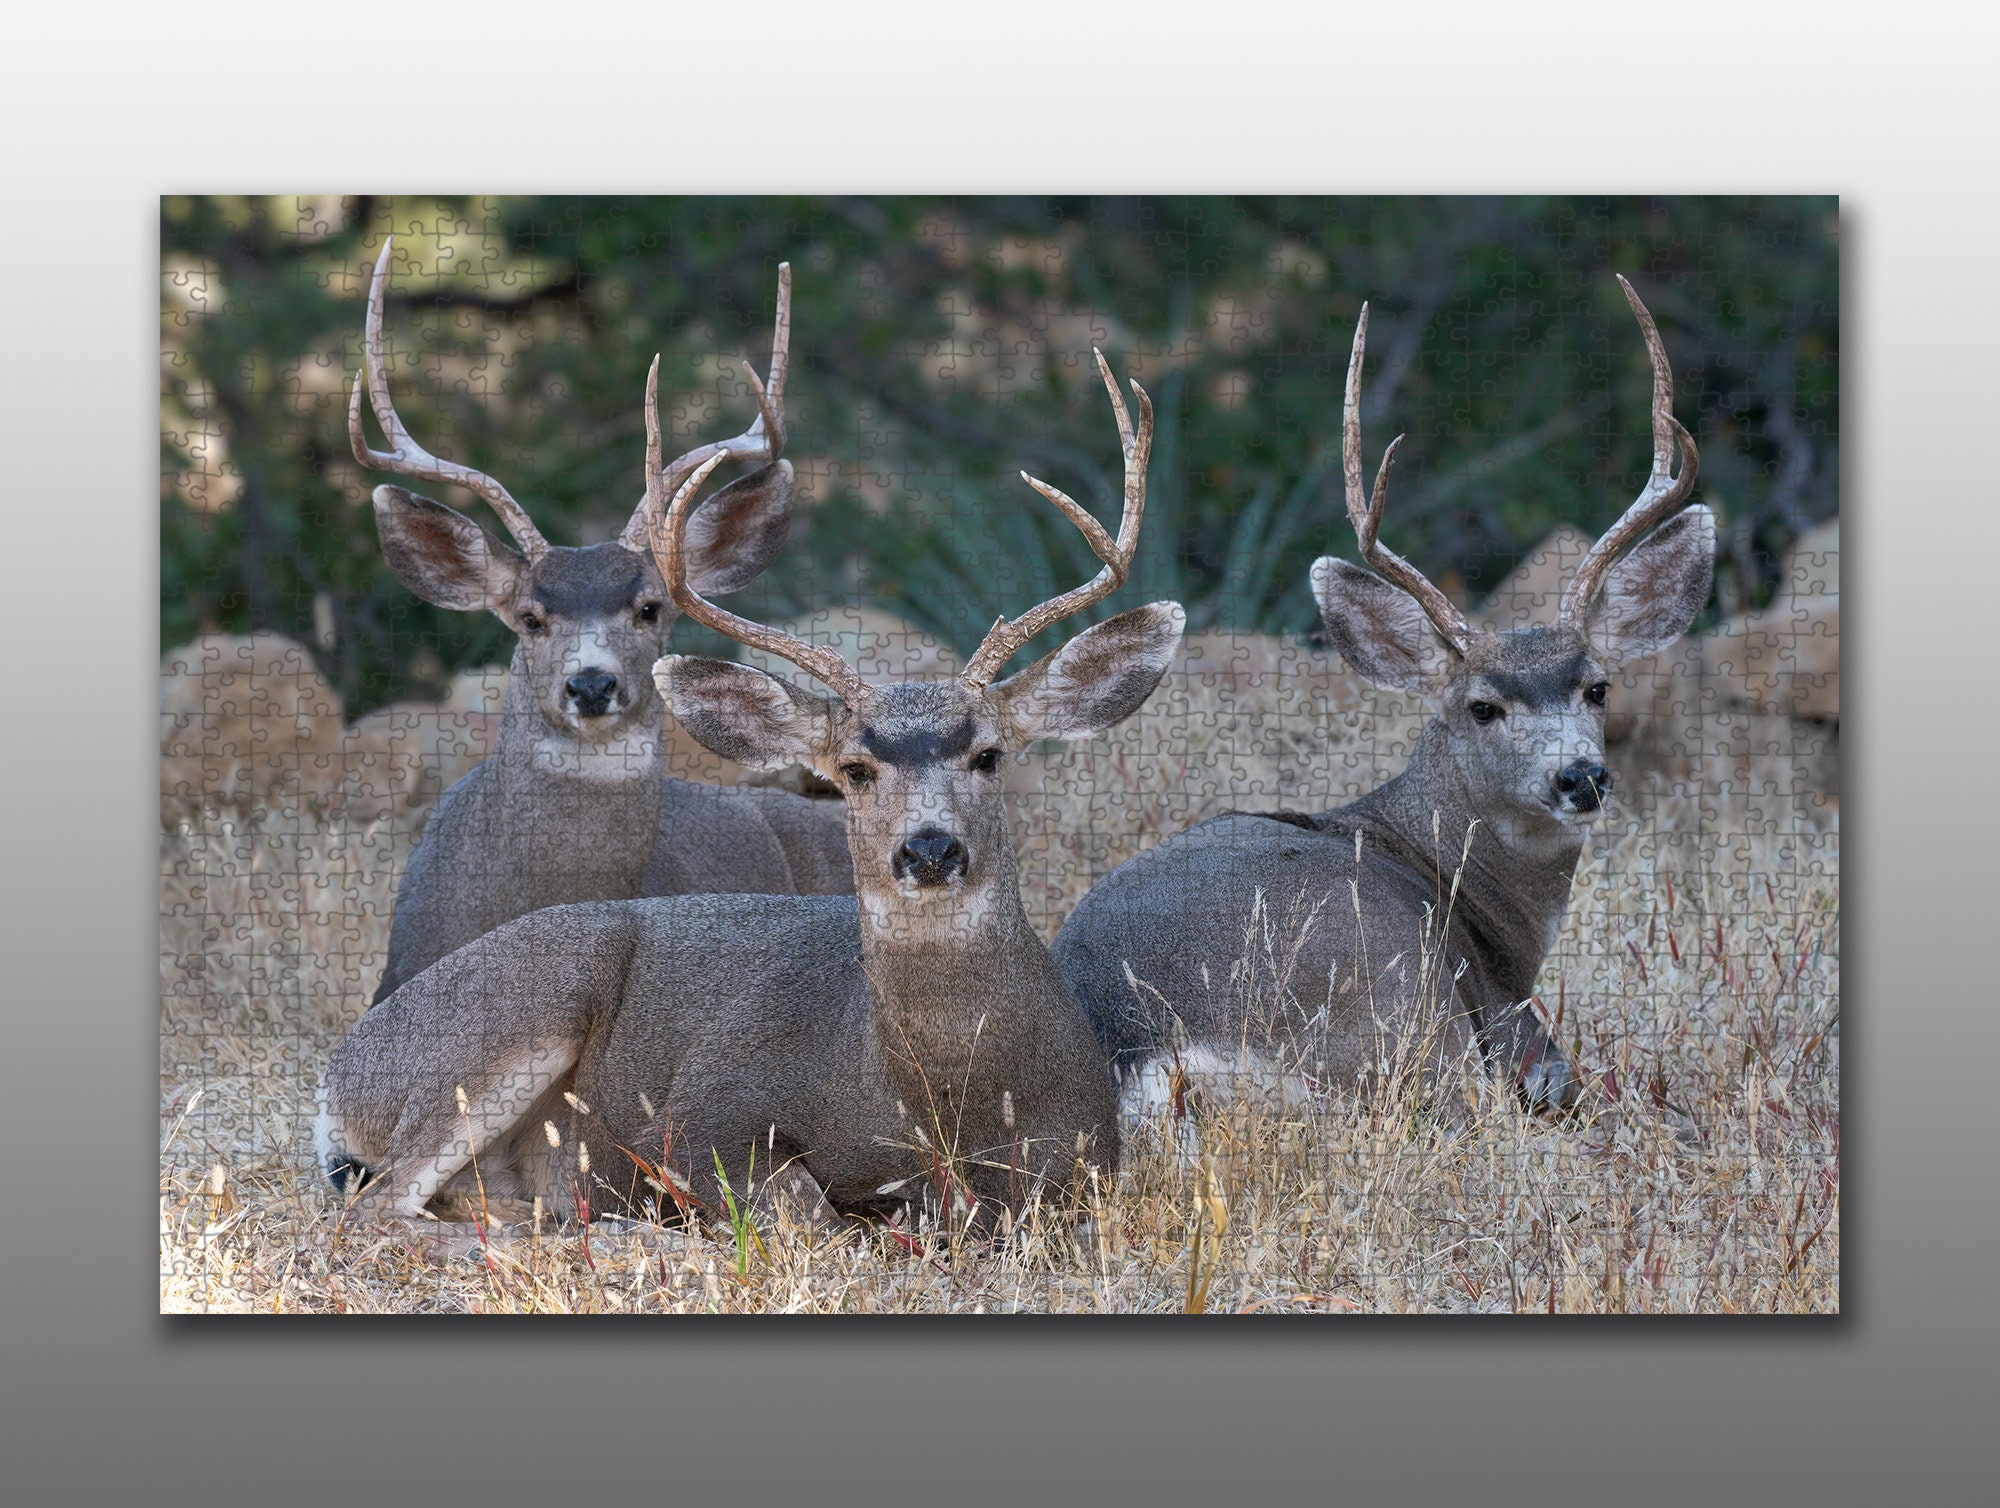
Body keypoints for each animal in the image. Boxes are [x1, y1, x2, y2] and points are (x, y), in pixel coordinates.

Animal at [316, 350, 1184, 1238]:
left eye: (989, 755)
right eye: (854, 769)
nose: (930, 848)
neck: (938, 1097)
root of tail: (338, 1076)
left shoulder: (1084, 1153)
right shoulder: (704, 1113)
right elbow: (807, 1211)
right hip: (511, 1020)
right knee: (377, 1212)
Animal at [1052, 277, 1714, 1135]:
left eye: (1597, 687)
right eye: (1481, 707)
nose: (1581, 777)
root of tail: (1138, 1041)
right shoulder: (1512, 1027)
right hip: (1405, 1013)